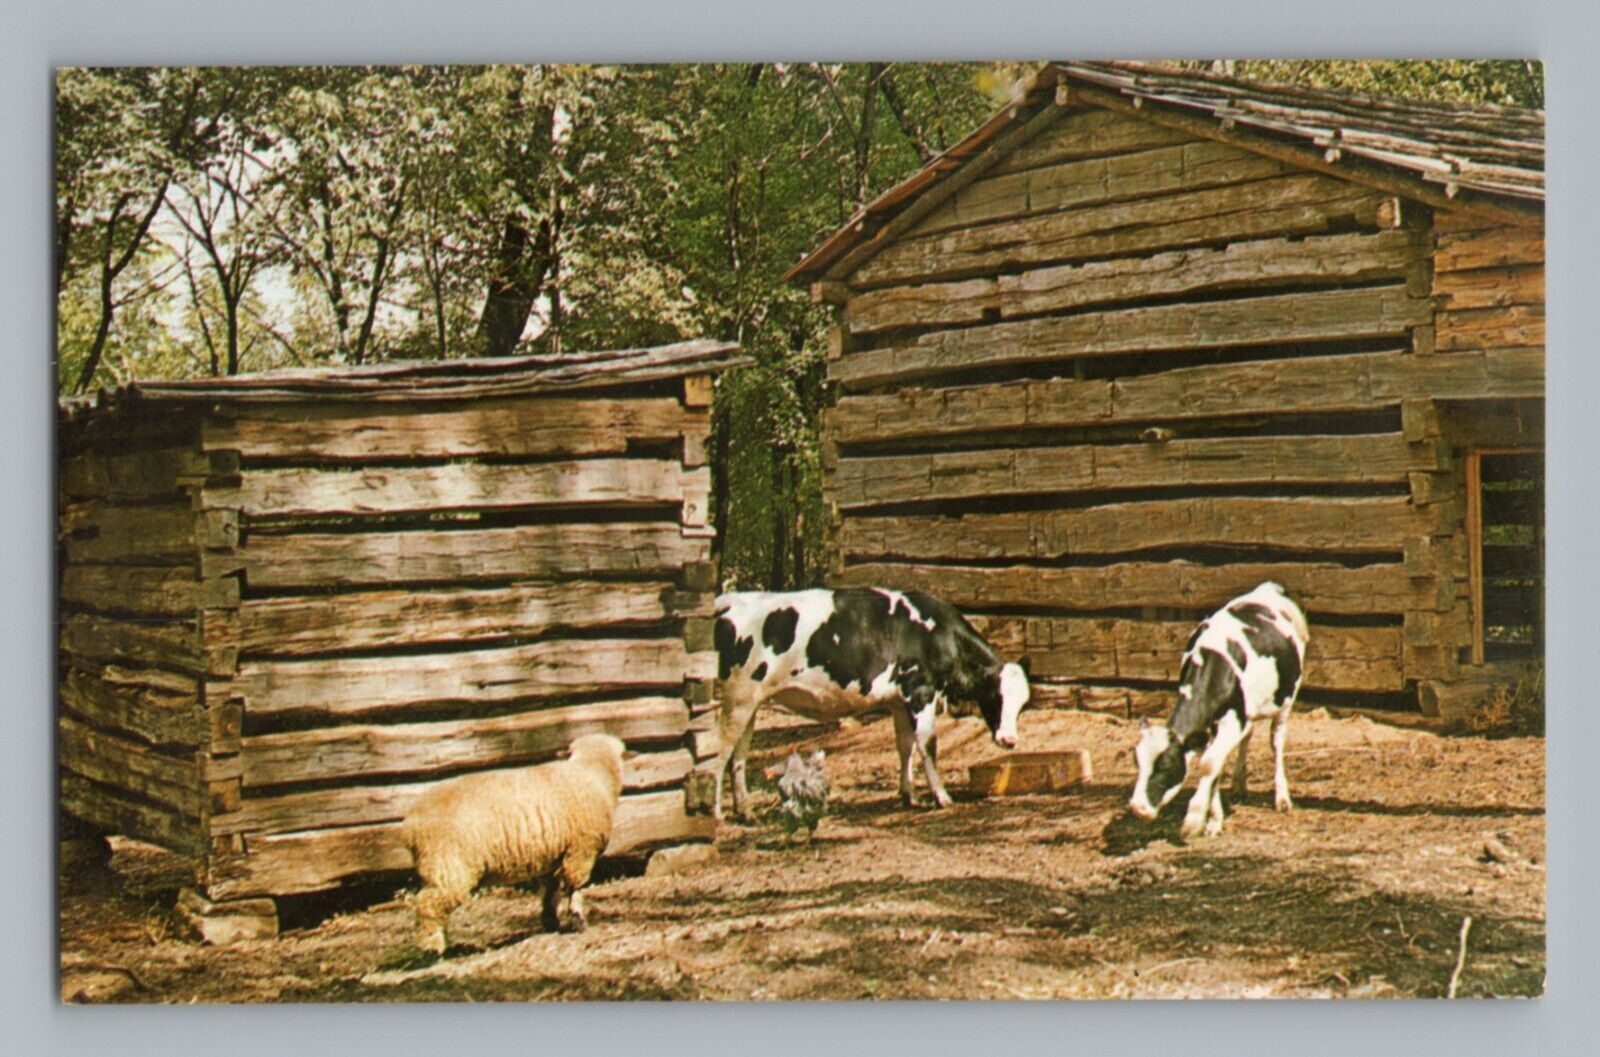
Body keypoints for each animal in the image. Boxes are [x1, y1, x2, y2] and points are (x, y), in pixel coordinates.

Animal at [400, 732, 627, 955]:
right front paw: (578, 919)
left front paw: (551, 921)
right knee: (428, 903)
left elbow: (551, 892)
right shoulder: (580, 850)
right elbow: (575, 887)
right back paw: (432, 948)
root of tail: (411, 821)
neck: (591, 773)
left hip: (437, 865)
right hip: (449, 864)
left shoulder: (554, 857)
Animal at [710, 587, 1030, 820]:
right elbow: (928, 745)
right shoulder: (920, 692)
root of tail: (726, 600)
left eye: (1022, 703)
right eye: (995, 695)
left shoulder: (900, 701)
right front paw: (942, 797)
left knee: (738, 754)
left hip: (750, 701)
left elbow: (905, 747)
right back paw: (715, 814)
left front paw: (908, 795)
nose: (1009, 740)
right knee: (720, 751)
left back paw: (745, 811)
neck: (936, 633)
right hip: (737, 697)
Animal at [1128, 582, 1309, 841]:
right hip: (1248, 710)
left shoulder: (1232, 721)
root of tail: (1271, 588)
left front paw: (1194, 819)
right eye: (1138, 763)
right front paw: (1213, 820)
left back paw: (1282, 798)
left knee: (1276, 741)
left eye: (1166, 766)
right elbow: (1215, 766)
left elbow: (1209, 764)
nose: (1137, 808)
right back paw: (1238, 786)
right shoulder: (1213, 726)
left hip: (1286, 699)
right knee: (1247, 737)